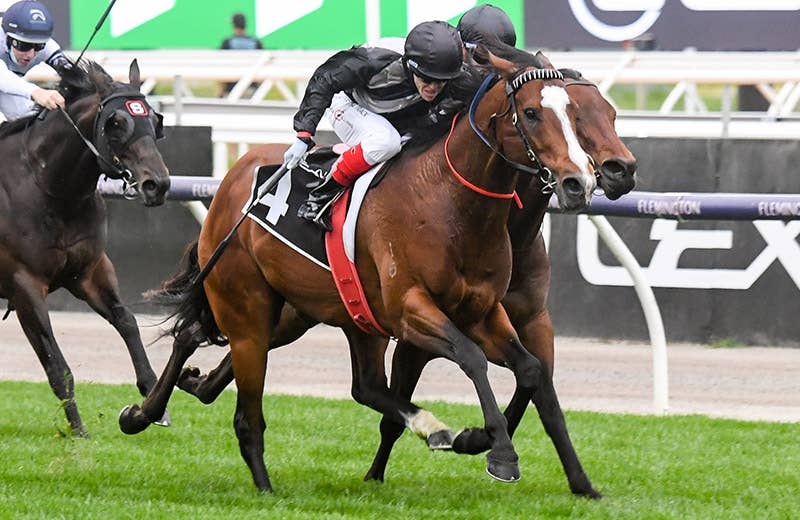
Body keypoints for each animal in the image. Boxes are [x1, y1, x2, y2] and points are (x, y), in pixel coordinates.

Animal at [0, 60, 171, 437]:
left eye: (154, 120)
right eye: (116, 122)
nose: (158, 185)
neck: (47, 187)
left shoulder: (89, 272)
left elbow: (127, 321)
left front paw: (153, 404)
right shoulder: (24, 284)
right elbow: (56, 364)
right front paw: (78, 429)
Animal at [119, 51, 599, 493]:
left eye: (576, 114)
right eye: (532, 113)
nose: (580, 181)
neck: (449, 203)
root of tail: (233, 178)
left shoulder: (480, 311)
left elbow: (530, 368)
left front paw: (477, 438)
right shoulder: (410, 309)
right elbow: (471, 357)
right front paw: (499, 452)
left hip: (324, 312)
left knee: (358, 384)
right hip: (247, 308)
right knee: (244, 407)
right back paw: (257, 480)